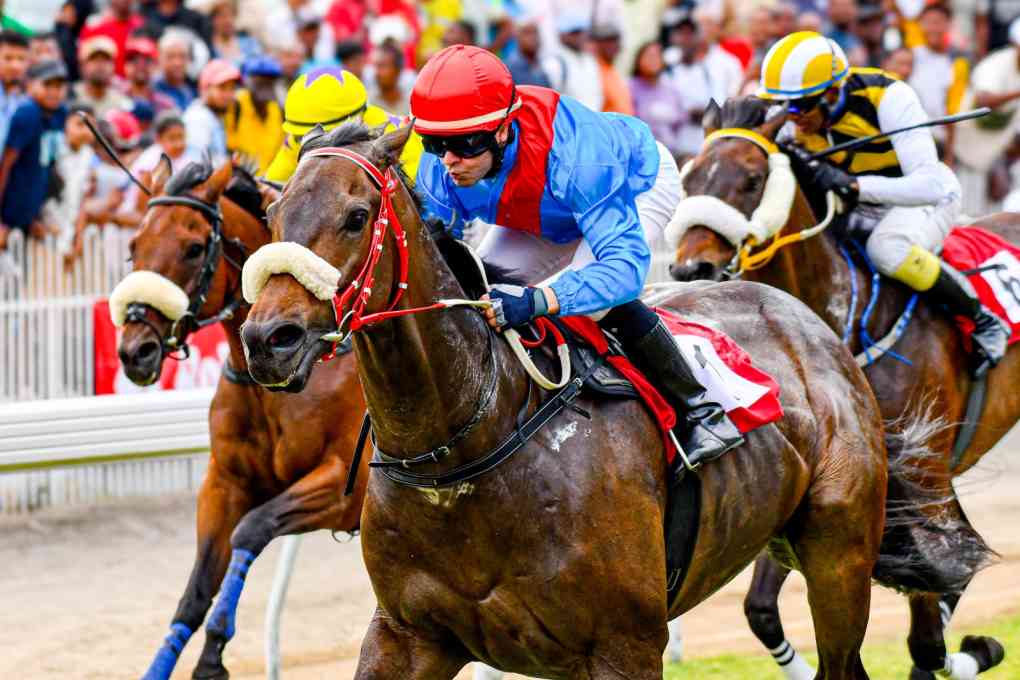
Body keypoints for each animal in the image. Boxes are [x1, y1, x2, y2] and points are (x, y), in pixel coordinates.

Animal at [113, 157, 368, 680]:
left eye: (193, 248)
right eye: (134, 246)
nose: (134, 350)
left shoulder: (342, 486)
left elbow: (253, 527)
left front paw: (213, 651)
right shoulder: (223, 483)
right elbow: (195, 589)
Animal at [237, 120, 911, 680]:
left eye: (356, 216)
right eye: (272, 212)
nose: (269, 339)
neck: (466, 444)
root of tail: (810, 322)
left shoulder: (625, 644)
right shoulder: (407, 635)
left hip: (839, 553)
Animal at [667, 97, 1014, 680]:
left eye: (753, 179)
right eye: (690, 176)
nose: (691, 267)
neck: (841, 319)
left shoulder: (923, 480)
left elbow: (936, 614)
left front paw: (975, 649)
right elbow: (760, 609)